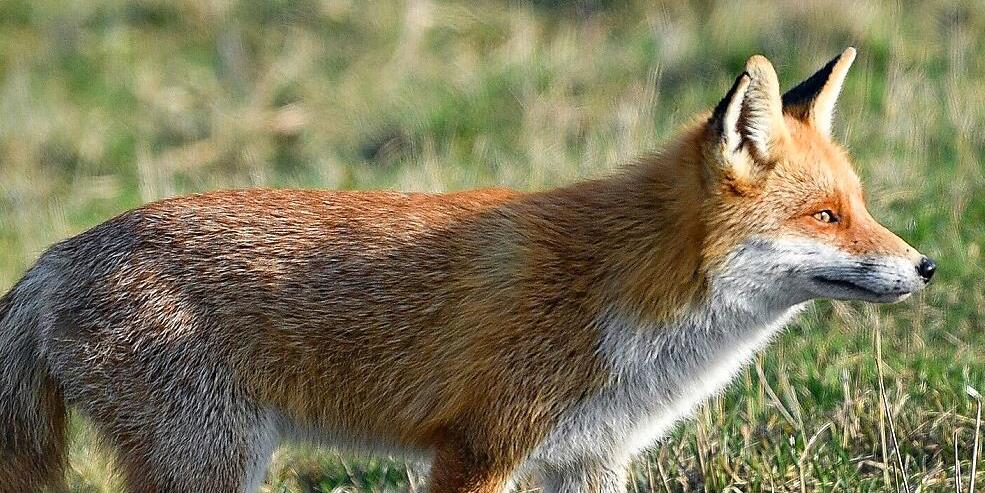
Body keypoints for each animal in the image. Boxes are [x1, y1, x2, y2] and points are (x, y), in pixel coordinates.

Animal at [0, 47, 935, 493]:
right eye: (824, 216)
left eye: (859, 204)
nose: (925, 265)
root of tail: (55, 255)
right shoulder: (478, 447)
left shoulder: (588, 457)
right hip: (210, 461)